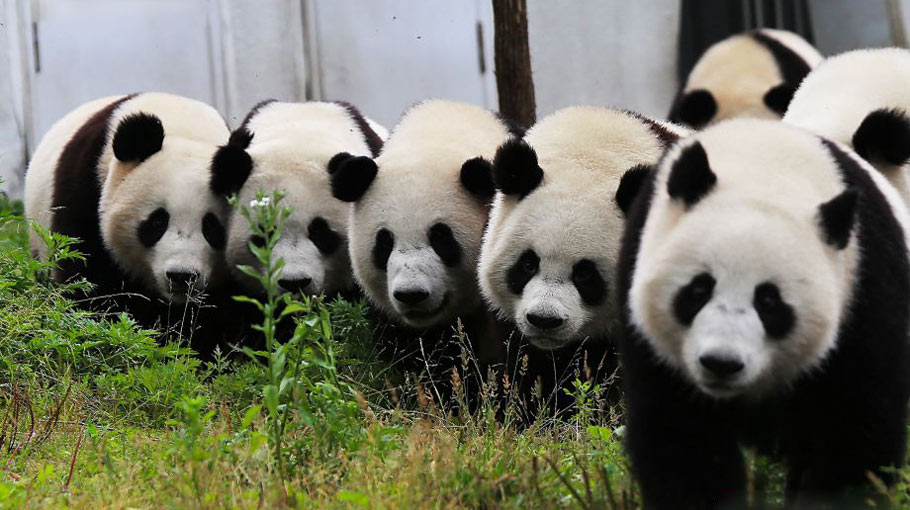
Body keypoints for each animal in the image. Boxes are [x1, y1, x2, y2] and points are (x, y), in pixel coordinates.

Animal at [618, 119, 910, 509]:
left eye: (769, 302)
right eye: (699, 289)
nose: (722, 363)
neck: (766, 172)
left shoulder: (864, 287)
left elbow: (853, 433)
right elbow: (683, 439)